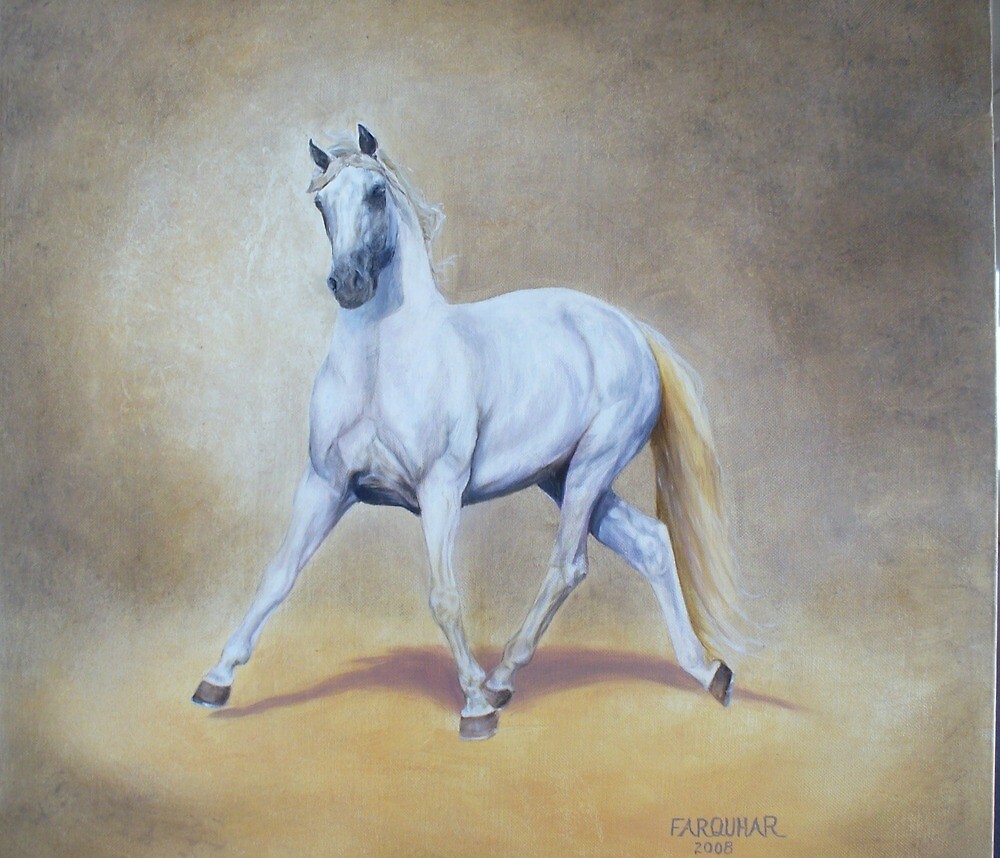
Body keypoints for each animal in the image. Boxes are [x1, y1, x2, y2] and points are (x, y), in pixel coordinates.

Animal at [192, 124, 747, 740]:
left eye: (376, 194)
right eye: (321, 204)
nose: (349, 283)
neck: (382, 368)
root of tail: (631, 328)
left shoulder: (439, 489)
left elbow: (444, 597)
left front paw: (475, 707)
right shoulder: (326, 484)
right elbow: (277, 576)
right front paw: (215, 681)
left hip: (591, 468)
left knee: (568, 566)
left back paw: (501, 680)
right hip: (562, 477)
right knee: (648, 543)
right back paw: (709, 672)